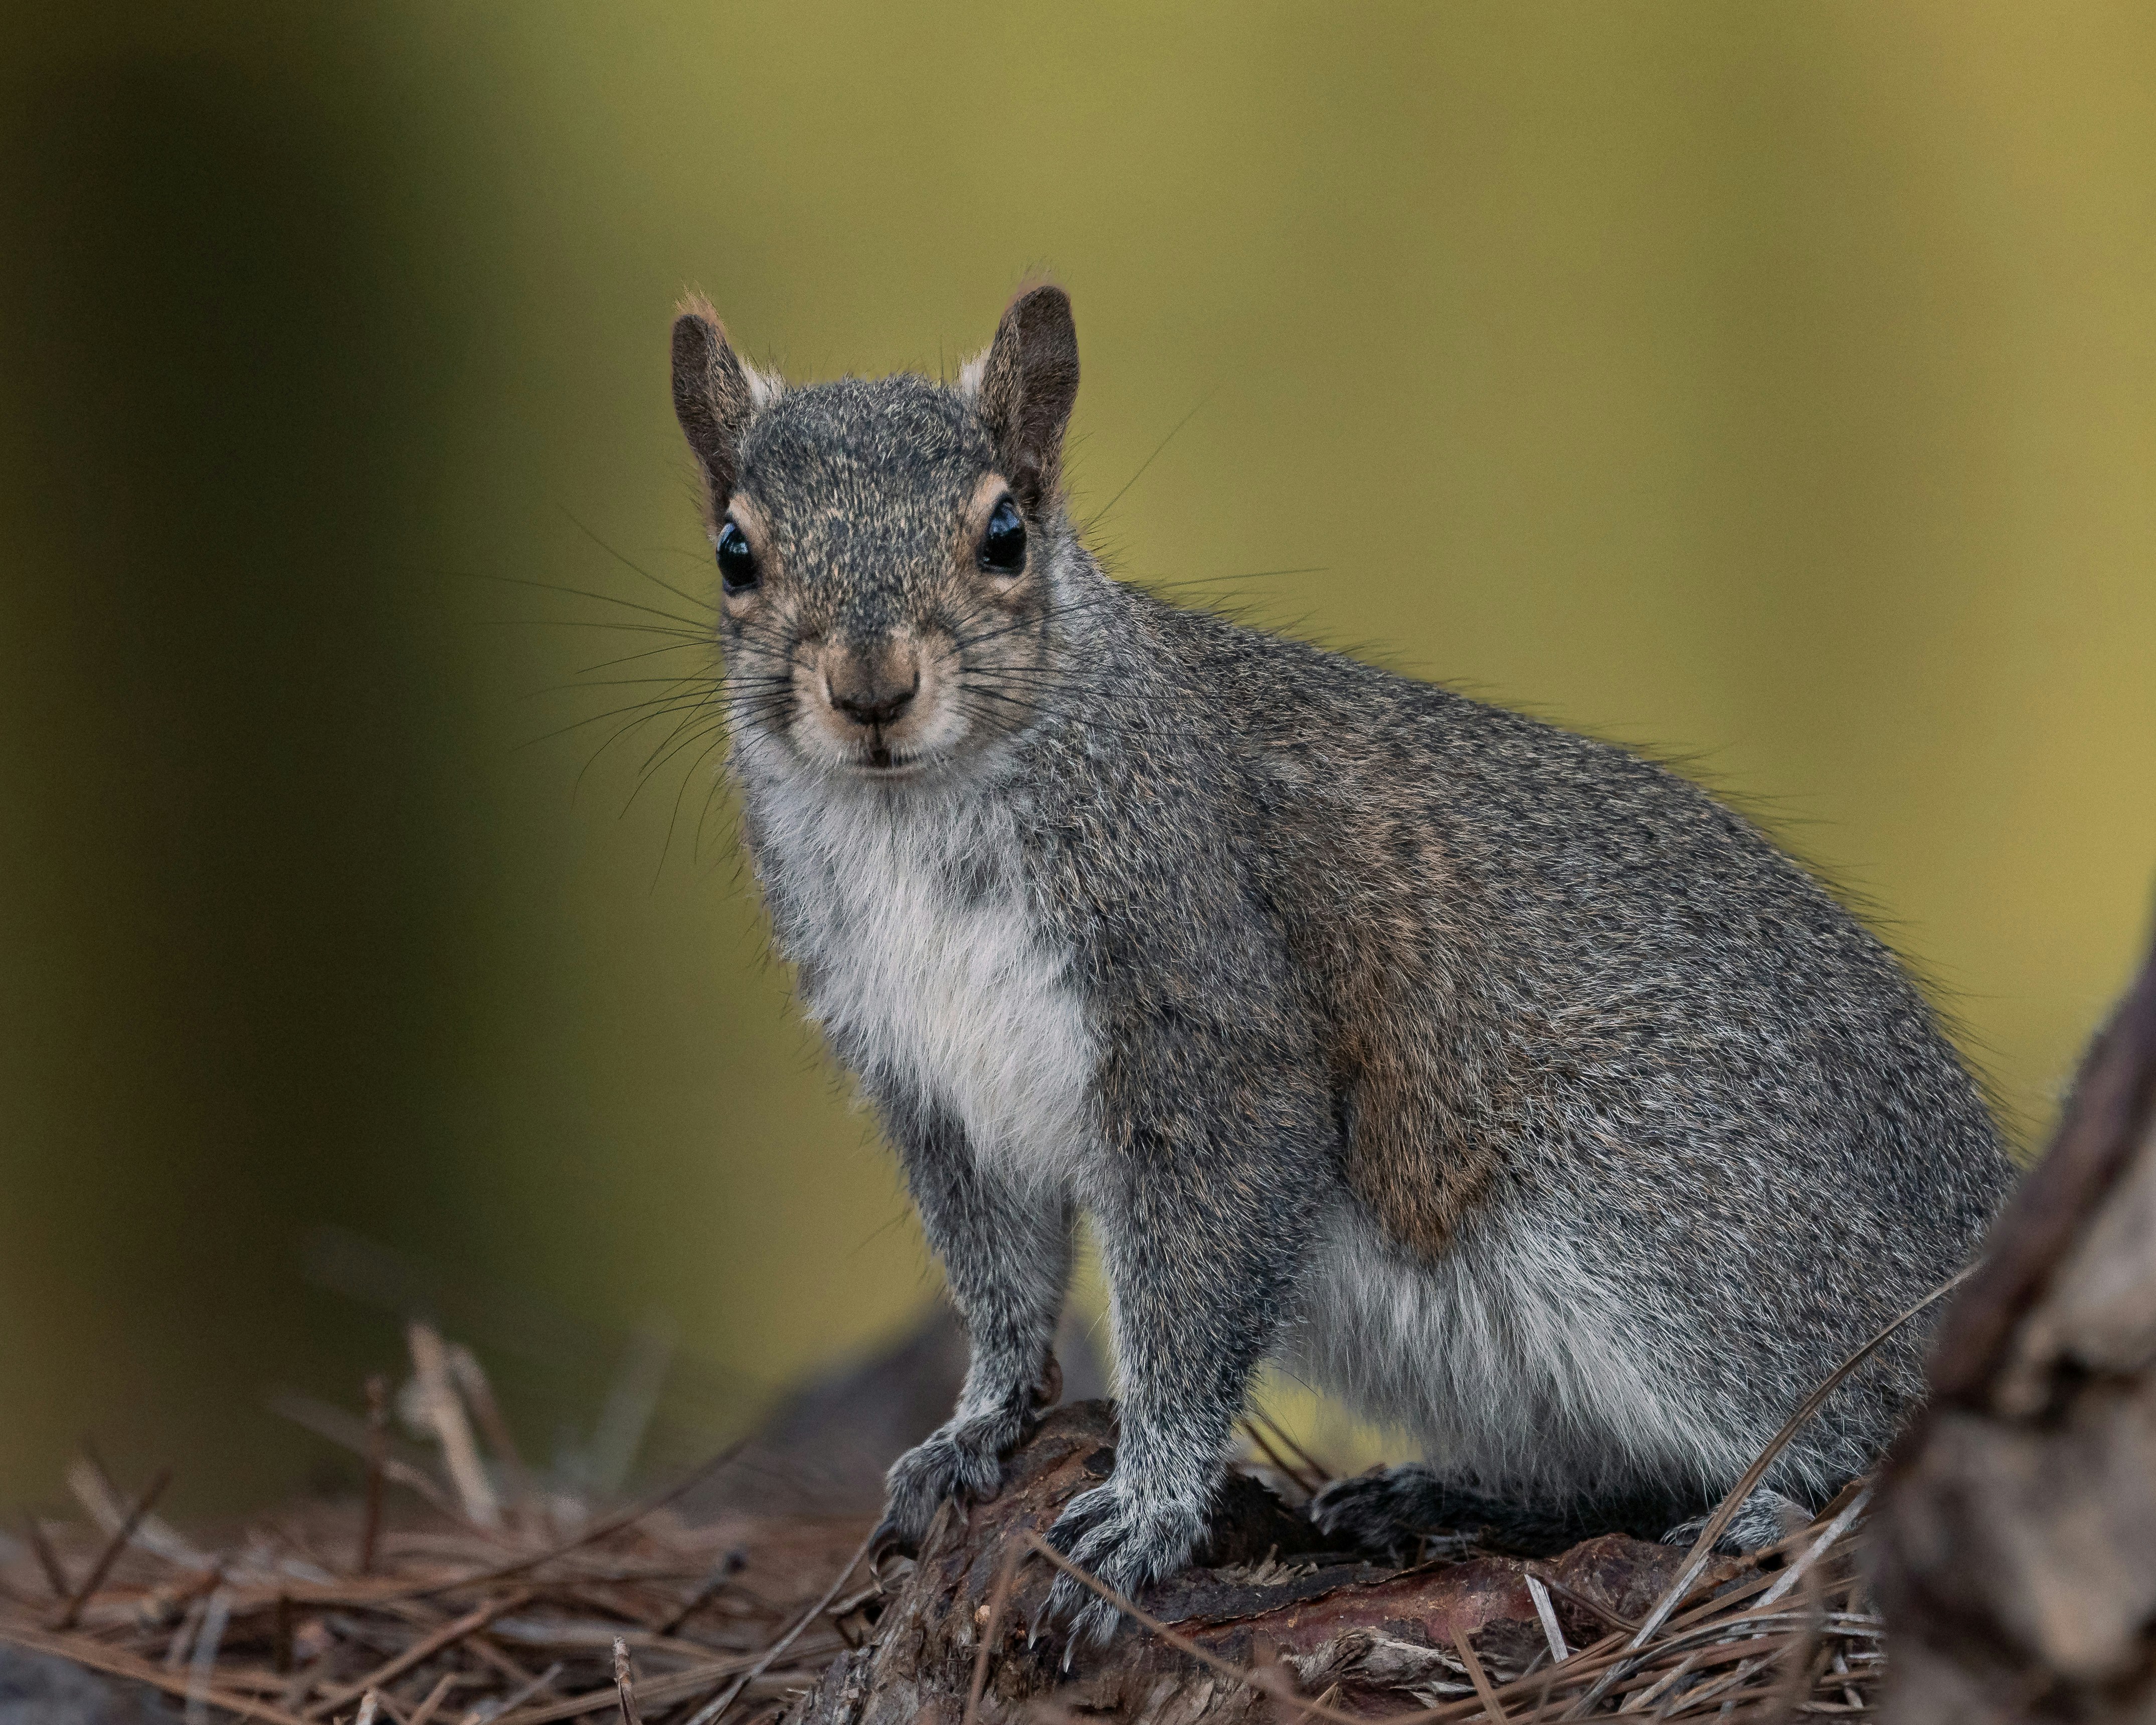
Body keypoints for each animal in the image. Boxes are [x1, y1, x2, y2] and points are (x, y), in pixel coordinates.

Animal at [667, 283, 2014, 1648]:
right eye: (734, 553)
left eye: (1004, 533)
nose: (870, 688)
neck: (910, 819)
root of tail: (1971, 1215)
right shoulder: (924, 1077)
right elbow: (997, 1283)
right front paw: (977, 1423)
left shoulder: (1207, 998)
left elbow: (1192, 1287)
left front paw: (1148, 1506)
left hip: (1677, 1224)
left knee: (1850, 1423)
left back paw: (1761, 1504)